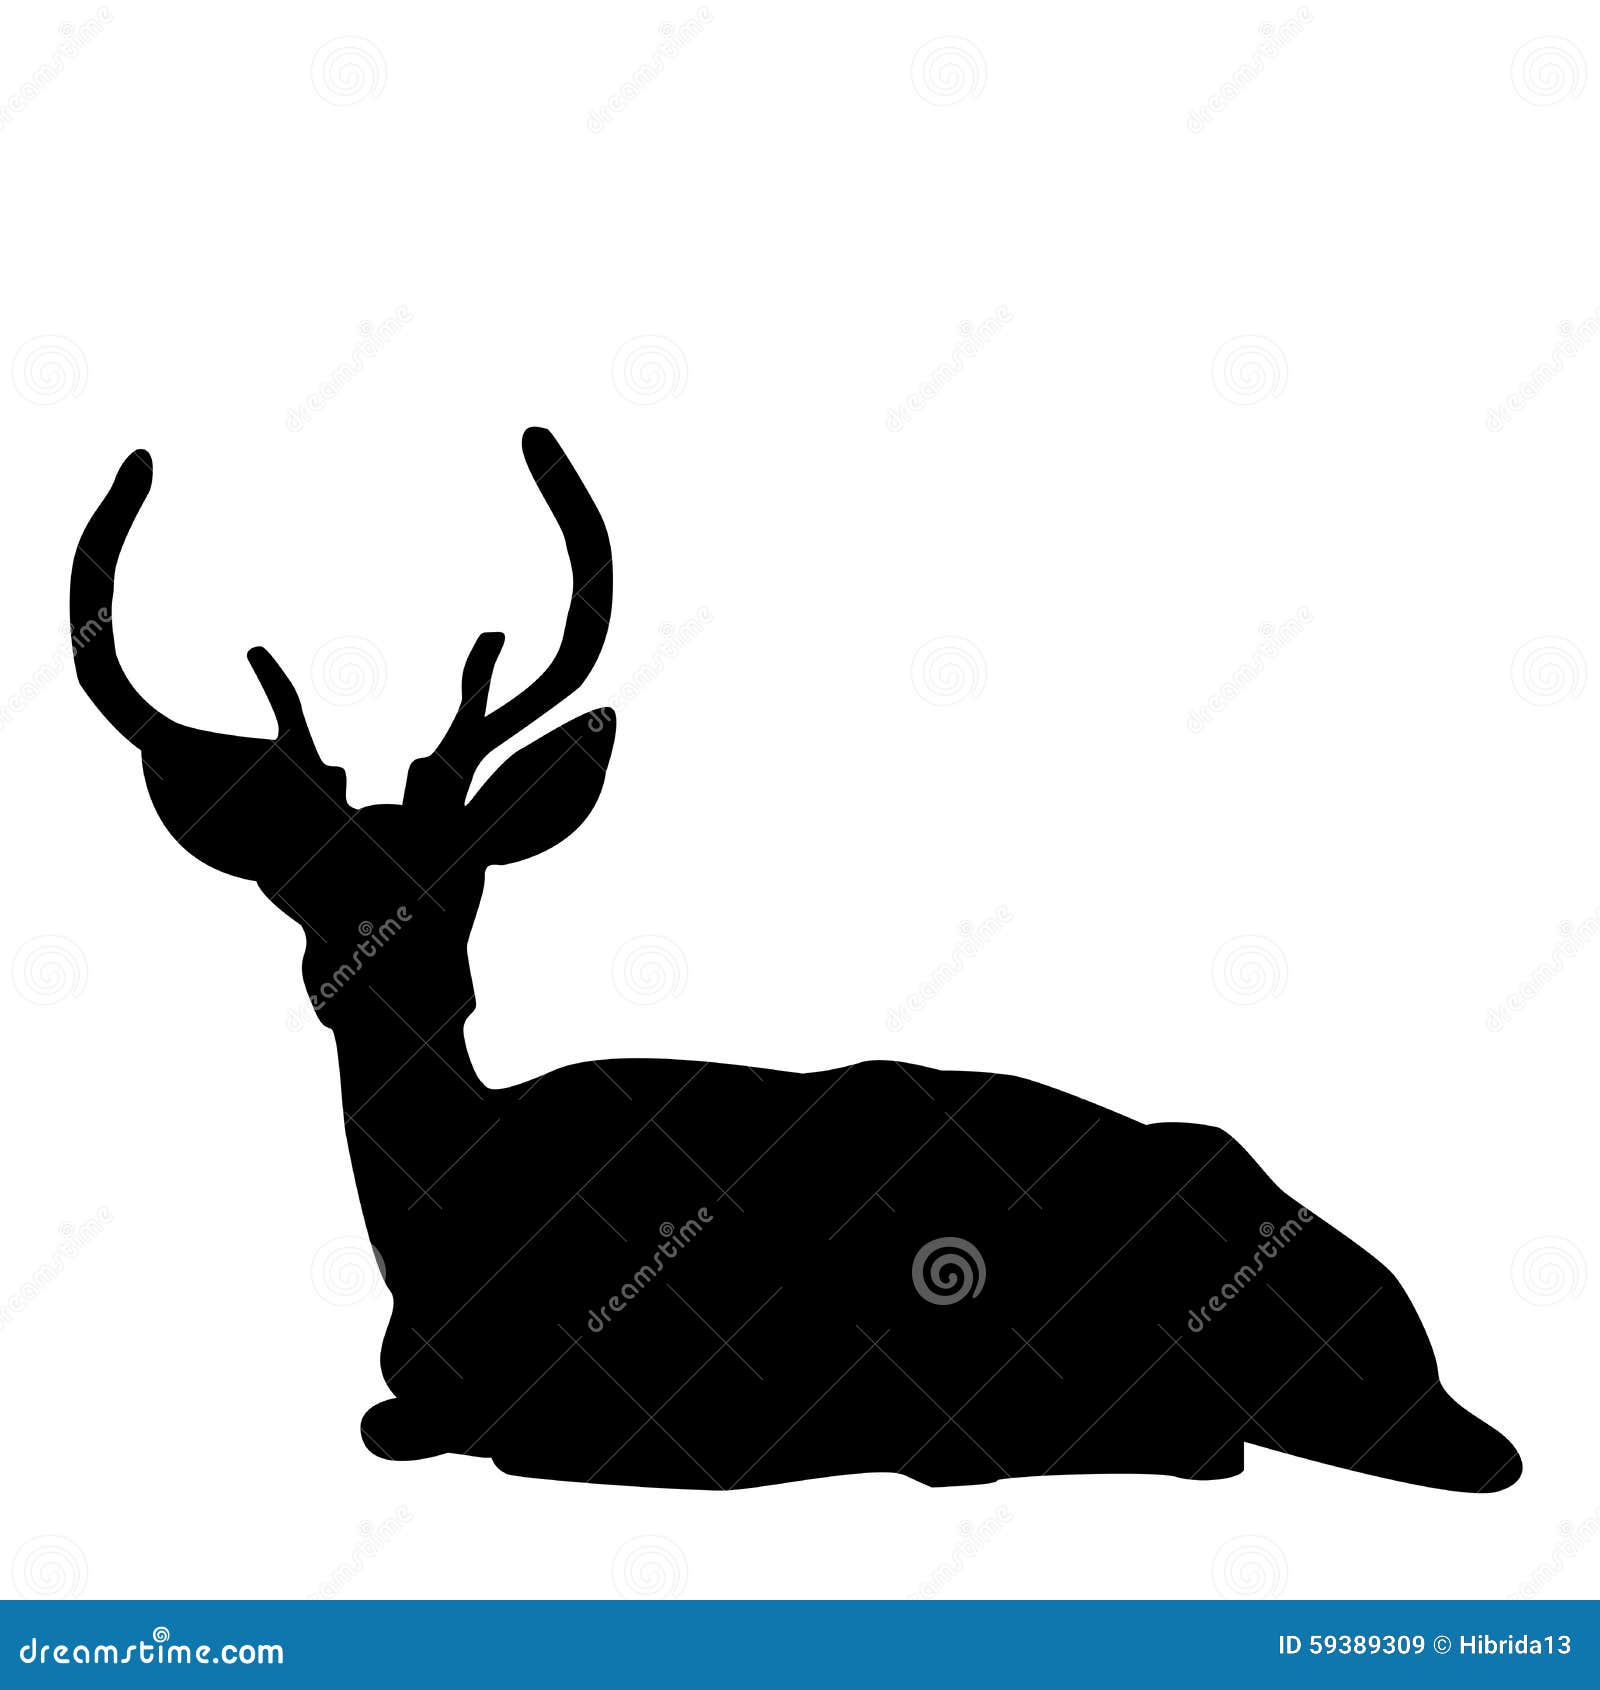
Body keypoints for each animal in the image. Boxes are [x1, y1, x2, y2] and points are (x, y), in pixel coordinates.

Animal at [71, 428, 1521, 1493]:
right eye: (301, 886)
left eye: (467, 877)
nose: (397, 981)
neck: (455, 1234)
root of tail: (1435, 1379)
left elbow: (451, 1426)